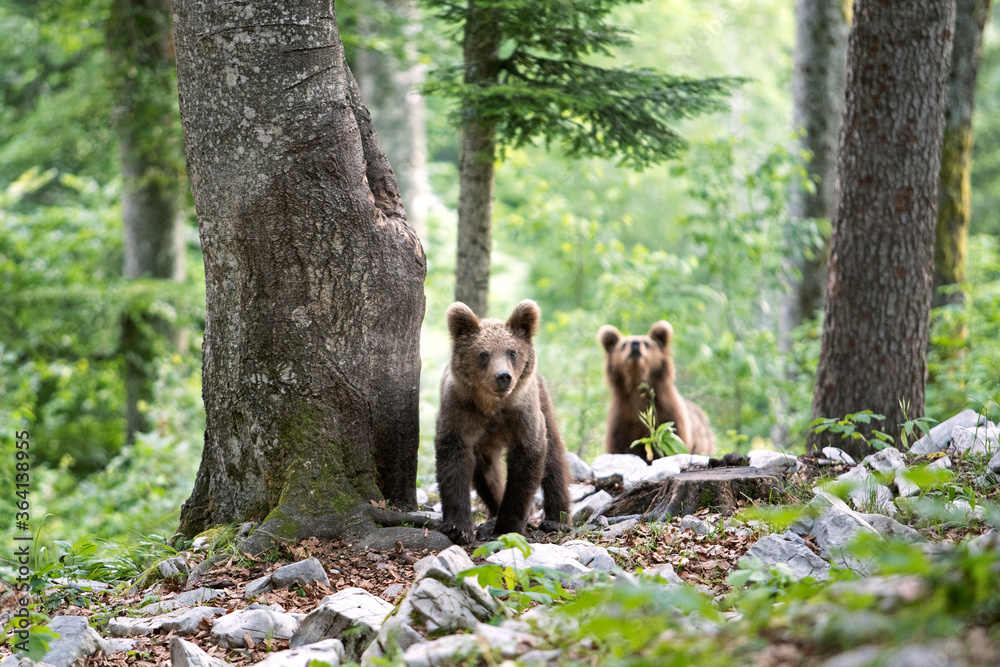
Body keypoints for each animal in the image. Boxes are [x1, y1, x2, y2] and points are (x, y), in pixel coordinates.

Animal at [435, 300, 570, 545]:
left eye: (512, 351)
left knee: (554, 458)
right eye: (483, 353)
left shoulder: (522, 414)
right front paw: (459, 527)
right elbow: (453, 463)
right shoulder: (459, 412)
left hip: (543, 401)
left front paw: (508, 526)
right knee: (486, 473)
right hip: (484, 445)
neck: (491, 406)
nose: (503, 376)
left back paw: (557, 519)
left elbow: (528, 460)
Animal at [598, 320, 715, 459]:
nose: (635, 344)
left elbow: (673, 442)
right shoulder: (622, 421)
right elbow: (620, 447)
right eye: (623, 344)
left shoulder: (668, 416)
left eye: (646, 343)